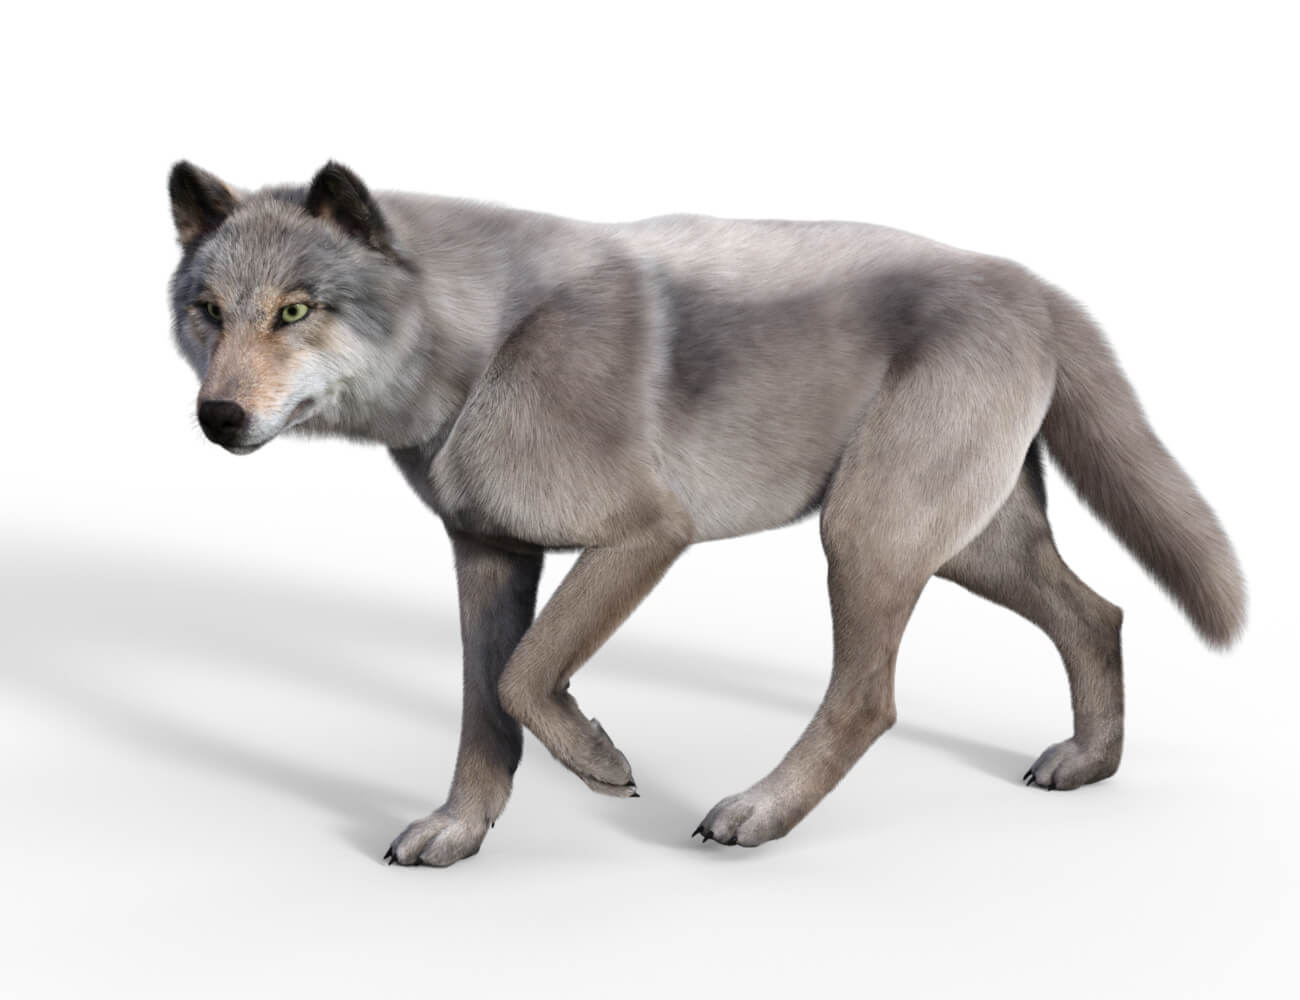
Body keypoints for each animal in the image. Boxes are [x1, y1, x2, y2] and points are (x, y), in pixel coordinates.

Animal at [167, 161, 1245, 866]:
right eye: (209, 311)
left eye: (296, 310)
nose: (216, 418)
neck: (484, 344)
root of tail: (1035, 284)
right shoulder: (488, 554)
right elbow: (484, 706)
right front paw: (461, 831)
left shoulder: (648, 534)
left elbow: (524, 677)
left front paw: (602, 764)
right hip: (969, 548)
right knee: (1099, 614)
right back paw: (1089, 764)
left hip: (866, 538)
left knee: (870, 697)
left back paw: (759, 814)